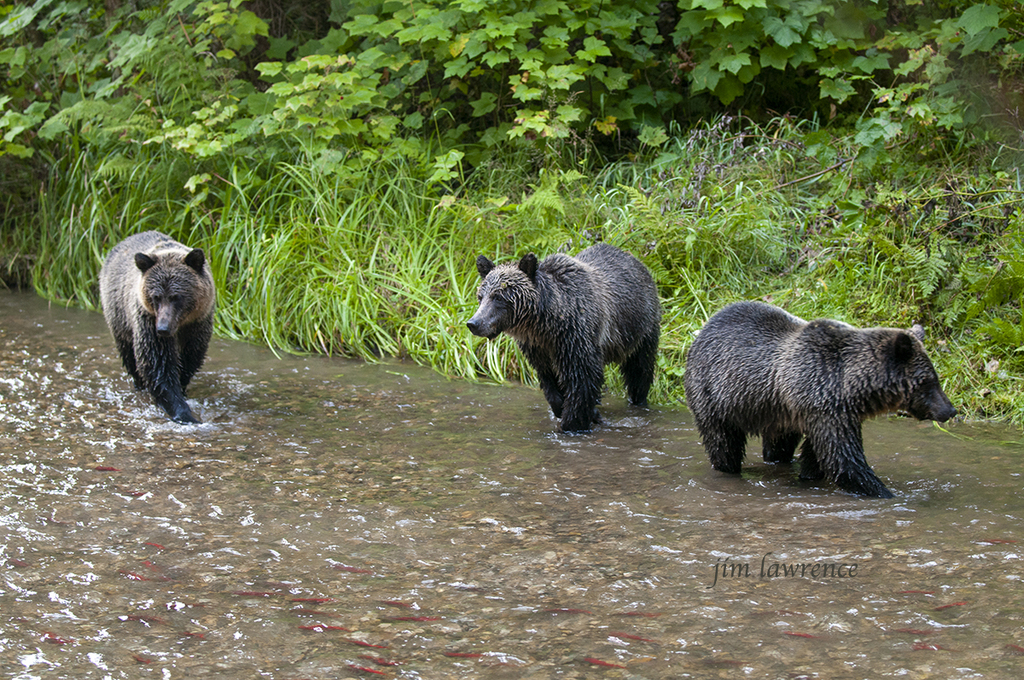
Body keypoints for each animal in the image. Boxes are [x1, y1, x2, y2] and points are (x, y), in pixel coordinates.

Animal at [99, 231, 216, 424]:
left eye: (177, 296)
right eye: (156, 296)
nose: (162, 328)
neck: (180, 325)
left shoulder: (197, 324)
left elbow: (190, 358)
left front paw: (183, 388)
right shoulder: (147, 320)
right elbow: (158, 364)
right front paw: (183, 412)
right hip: (119, 315)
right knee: (129, 354)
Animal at [467, 243, 661, 433]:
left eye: (498, 297)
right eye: (481, 296)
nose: (474, 323)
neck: (546, 323)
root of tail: (635, 259)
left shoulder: (575, 337)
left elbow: (582, 381)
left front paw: (574, 424)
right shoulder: (538, 348)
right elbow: (550, 382)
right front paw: (575, 410)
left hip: (641, 327)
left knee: (640, 369)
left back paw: (639, 400)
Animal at [683, 301, 957, 498]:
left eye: (935, 377)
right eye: (927, 381)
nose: (950, 410)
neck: (849, 386)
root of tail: (703, 328)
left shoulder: (828, 411)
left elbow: (818, 456)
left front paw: (808, 474)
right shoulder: (823, 405)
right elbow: (844, 461)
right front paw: (889, 492)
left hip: (777, 413)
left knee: (778, 445)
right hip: (714, 396)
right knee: (723, 443)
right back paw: (727, 467)